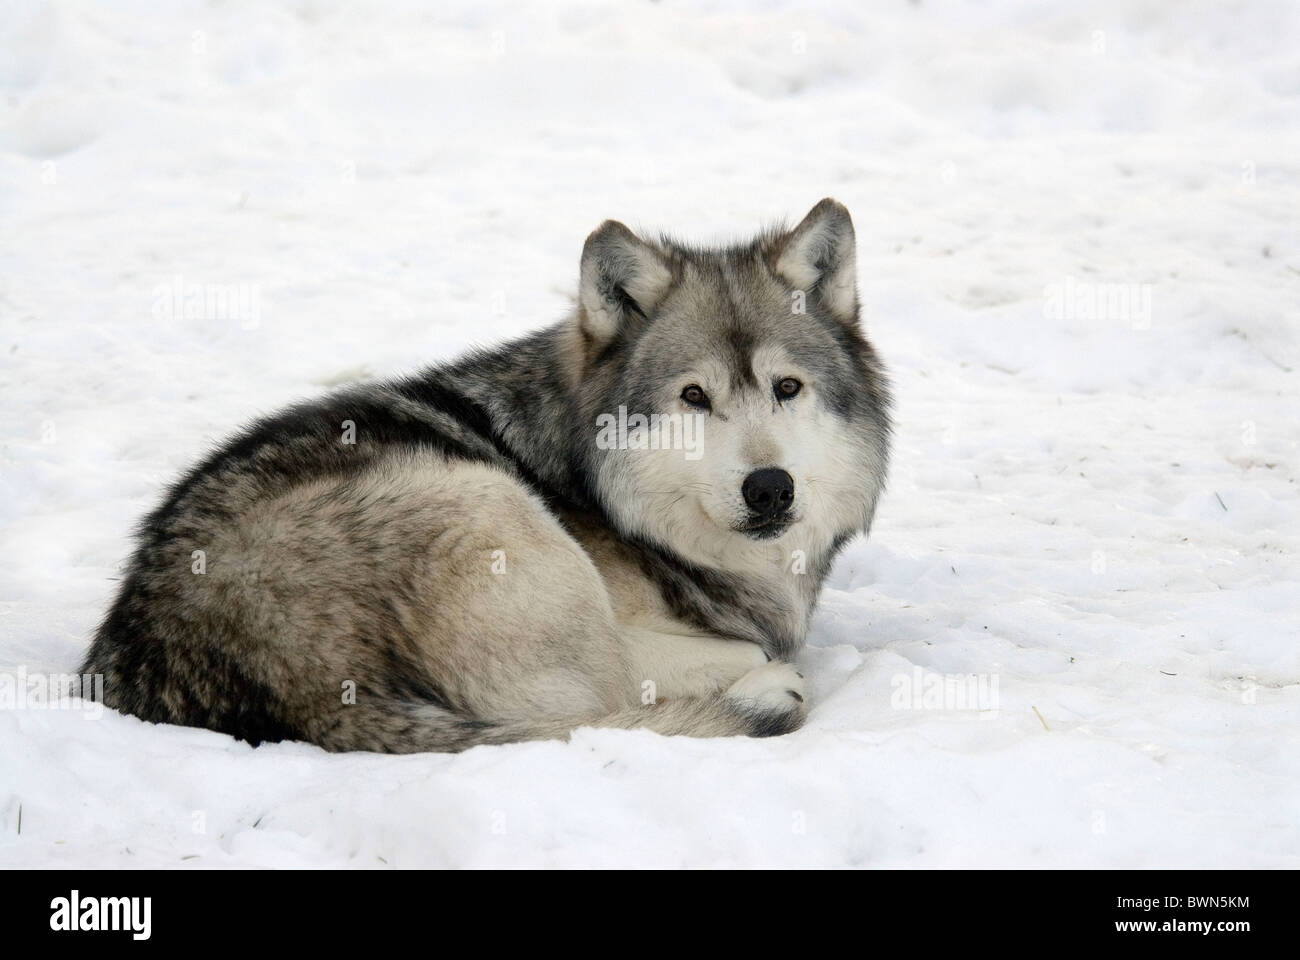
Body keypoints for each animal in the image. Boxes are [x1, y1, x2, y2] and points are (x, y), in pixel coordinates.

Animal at [81, 199, 891, 752]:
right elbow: (743, 649)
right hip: (492, 504)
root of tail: (295, 689)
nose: (770, 487)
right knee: (591, 706)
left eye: (787, 388)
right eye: (694, 396)